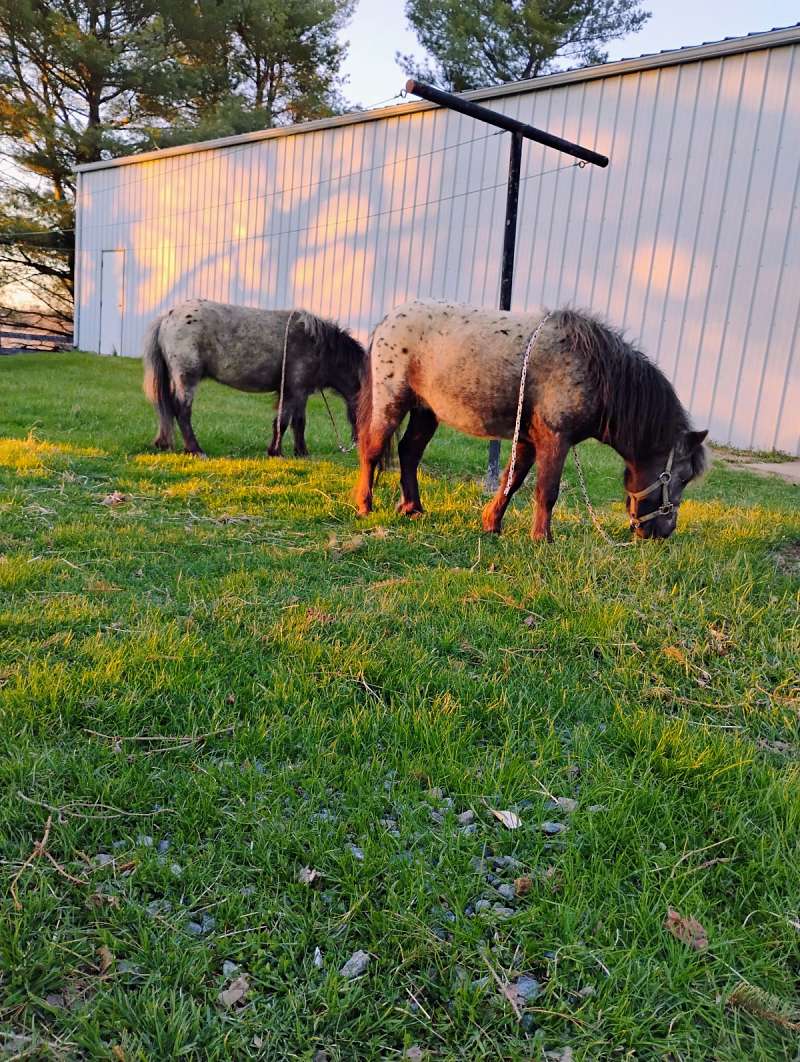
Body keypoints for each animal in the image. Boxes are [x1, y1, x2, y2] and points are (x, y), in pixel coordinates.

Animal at [142, 299, 365, 457]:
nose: (359, 443)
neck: (318, 346)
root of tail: (167, 318)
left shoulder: (301, 392)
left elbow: (299, 422)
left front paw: (301, 453)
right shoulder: (293, 391)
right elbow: (283, 421)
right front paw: (275, 452)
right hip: (187, 377)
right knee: (182, 410)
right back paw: (196, 449)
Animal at [355, 299, 708, 541]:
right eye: (681, 477)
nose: (664, 531)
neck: (594, 370)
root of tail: (389, 318)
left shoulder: (525, 439)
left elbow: (511, 481)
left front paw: (492, 524)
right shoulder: (555, 439)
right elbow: (546, 490)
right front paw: (543, 539)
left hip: (426, 412)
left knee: (408, 453)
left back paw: (412, 508)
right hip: (391, 402)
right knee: (371, 451)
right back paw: (365, 506)